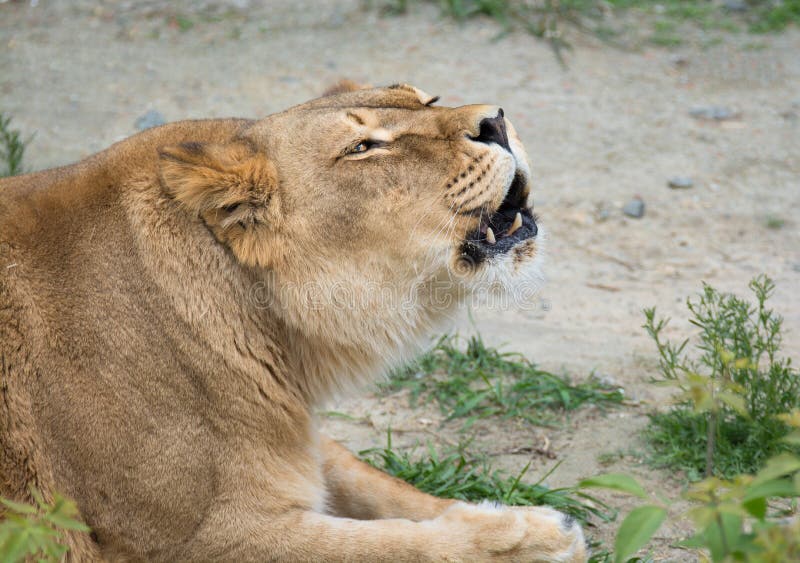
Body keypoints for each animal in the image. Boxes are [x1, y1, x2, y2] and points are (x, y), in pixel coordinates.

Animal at [0, 83, 585, 561]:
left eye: (427, 100)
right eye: (362, 148)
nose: (496, 123)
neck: (277, 333)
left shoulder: (299, 437)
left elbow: (382, 489)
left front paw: (530, 523)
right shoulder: (192, 541)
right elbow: (386, 547)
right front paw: (526, 544)